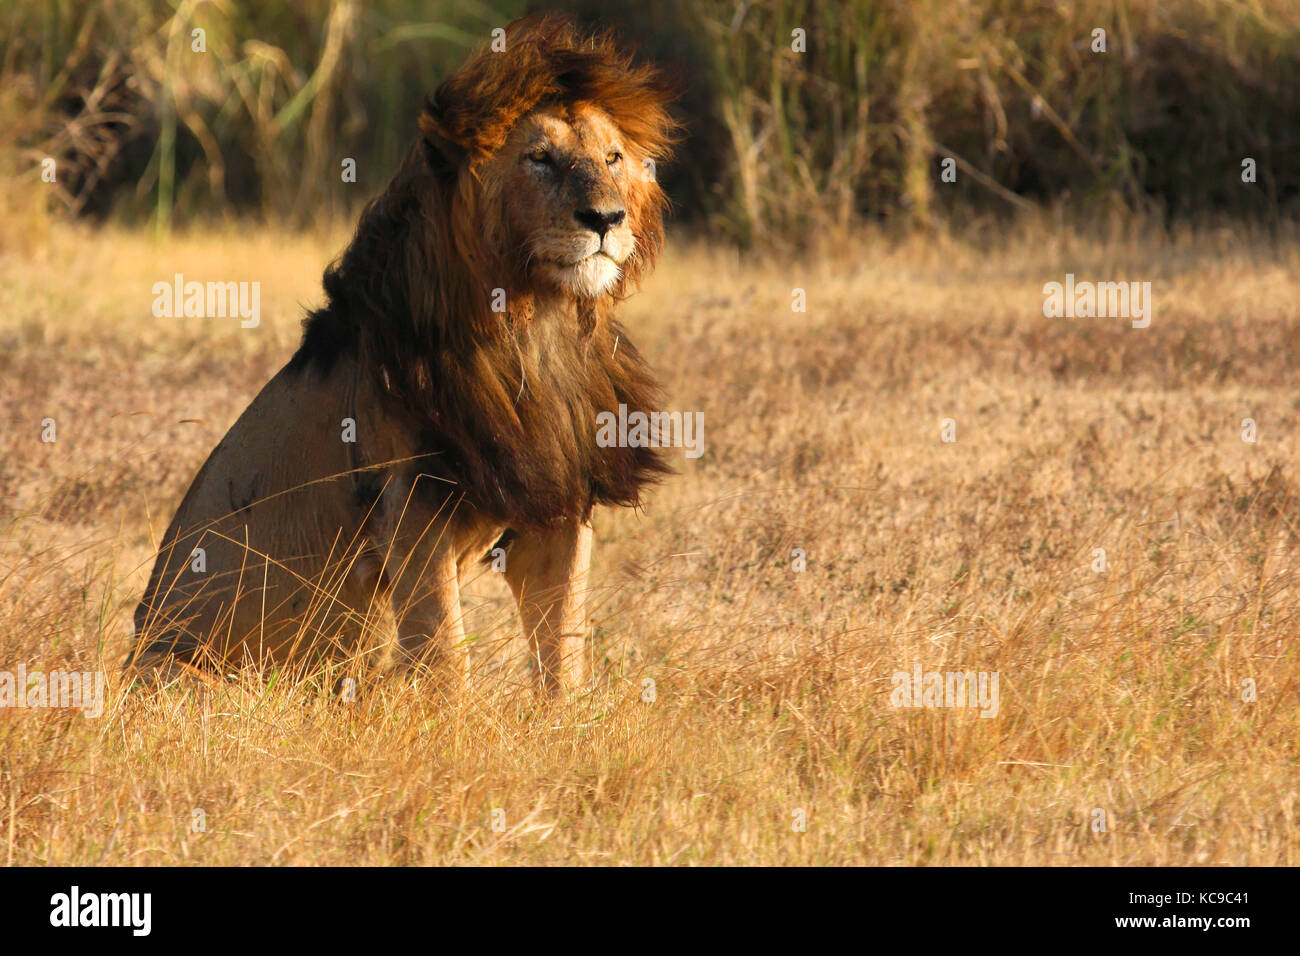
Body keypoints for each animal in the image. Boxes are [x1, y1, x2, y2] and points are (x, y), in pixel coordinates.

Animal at [127, 14, 677, 694]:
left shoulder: (560, 497)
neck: (536, 325)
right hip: (182, 673)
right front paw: (457, 720)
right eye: (540, 160)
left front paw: (568, 716)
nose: (606, 218)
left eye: (612, 158)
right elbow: (446, 652)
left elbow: (563, 644)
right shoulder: (411, 506)